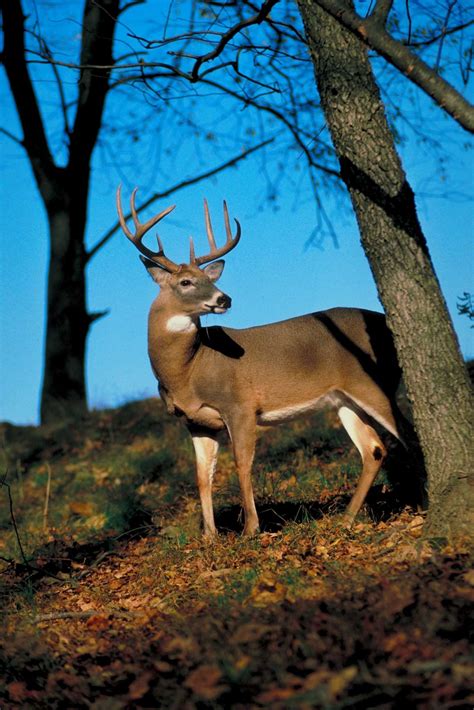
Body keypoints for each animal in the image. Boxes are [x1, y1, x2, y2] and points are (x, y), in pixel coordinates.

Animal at [117, 186, 410, 538]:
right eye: (185, 282)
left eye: (209, 278)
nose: (224, 298)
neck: (188, 371)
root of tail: (385, 323)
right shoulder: (196, 421)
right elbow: (203, 476)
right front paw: (210, 536)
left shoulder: (240, 406)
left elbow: (242, 463)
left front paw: (250, 530)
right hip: (344, 399)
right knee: (374, 449)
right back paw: (346, 519)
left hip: (372, 381)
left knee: (407, 433)